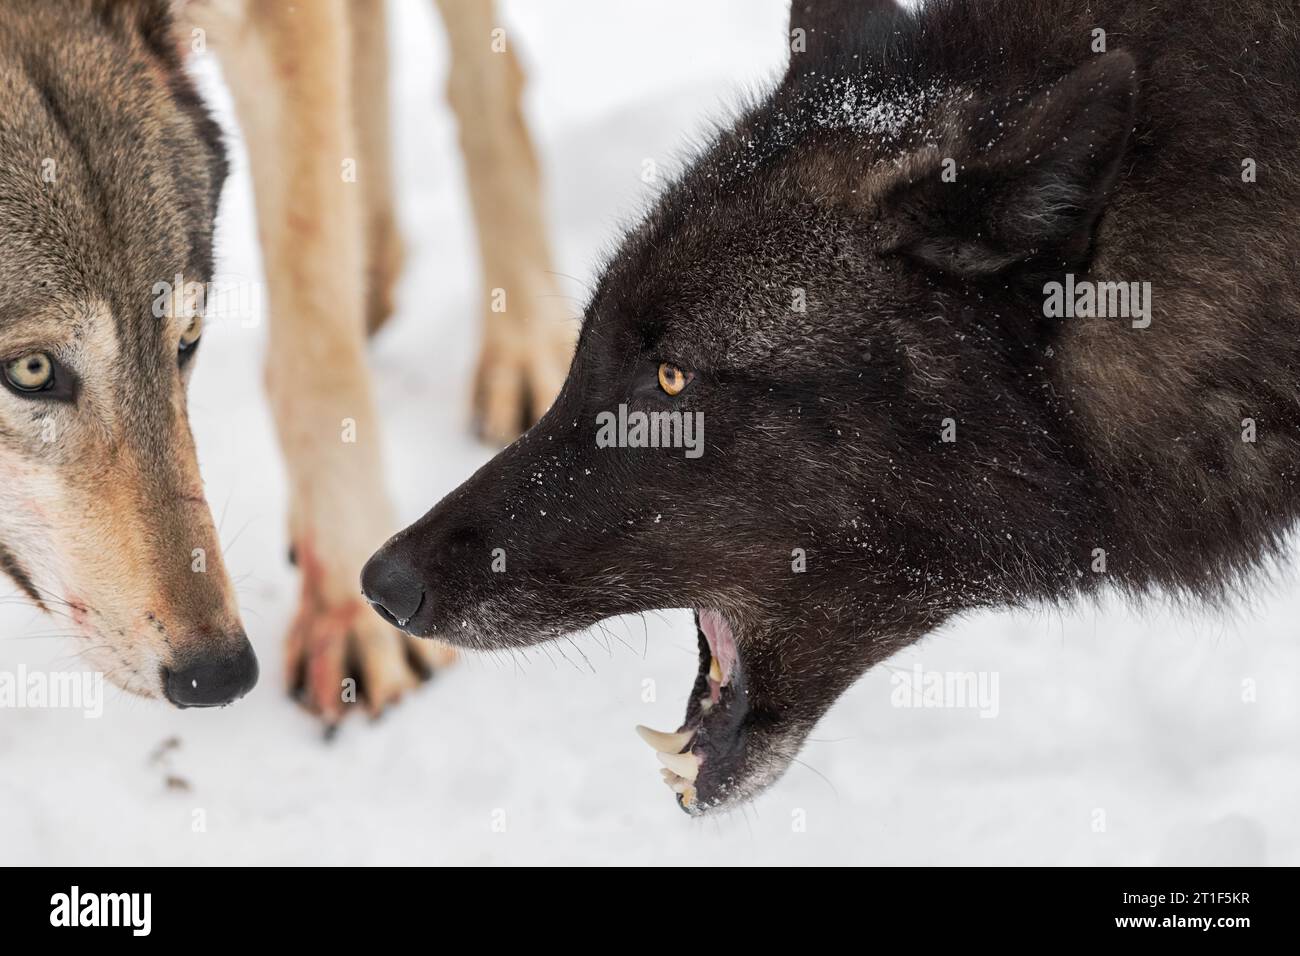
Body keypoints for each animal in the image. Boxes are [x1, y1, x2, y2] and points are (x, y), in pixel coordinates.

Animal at [0, 0, 572, 717]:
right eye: (31, 371)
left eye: (187, 341)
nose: (219, 675)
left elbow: (315, 349)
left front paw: (354, 627)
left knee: (490, 78)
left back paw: (522, 345)